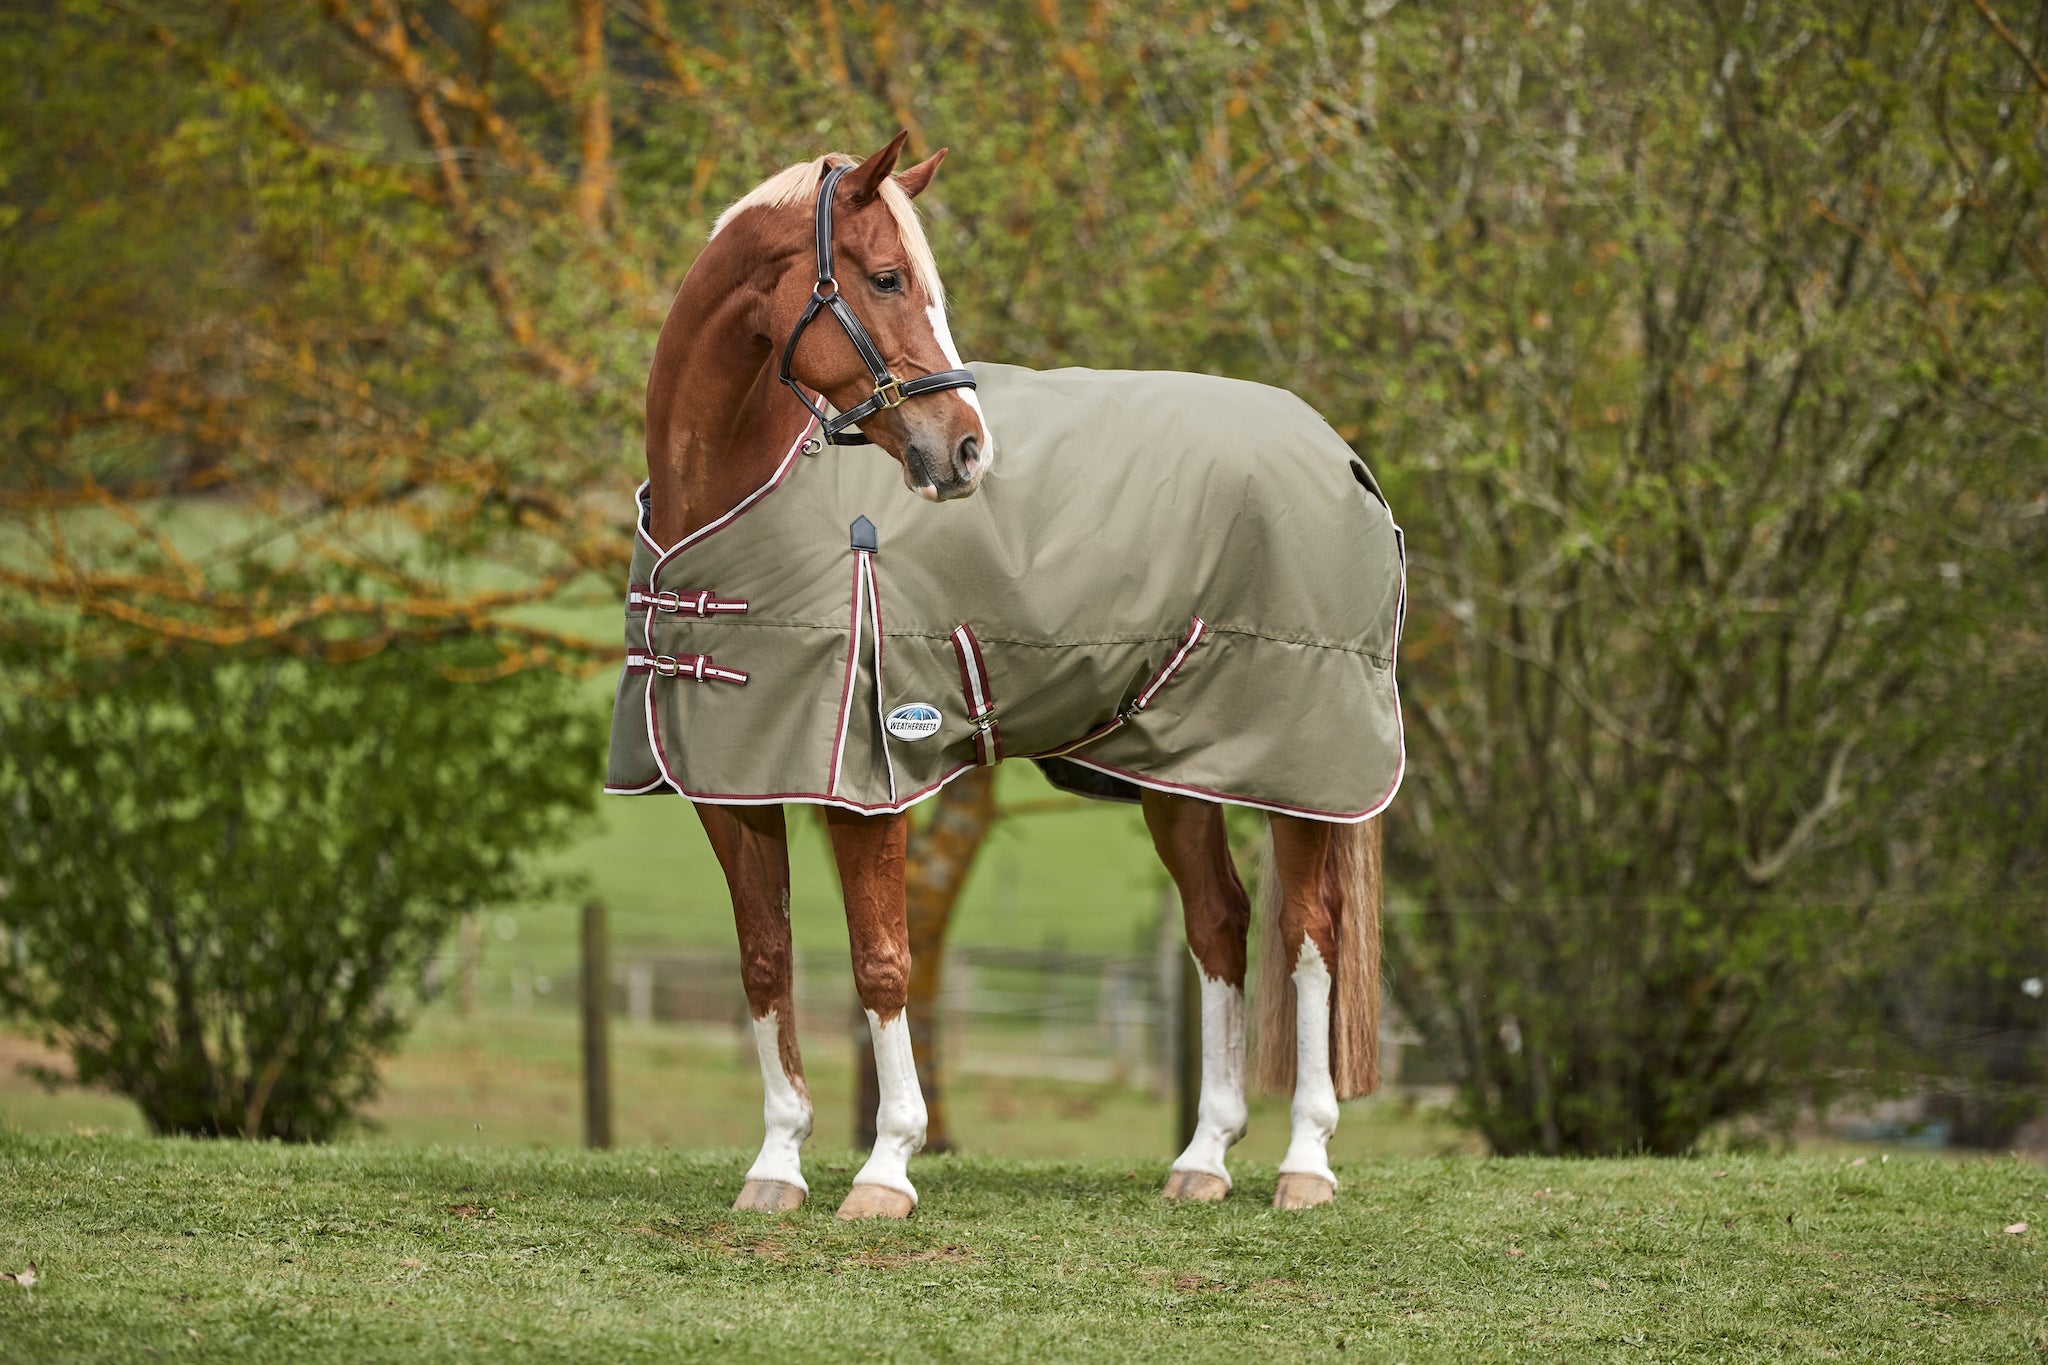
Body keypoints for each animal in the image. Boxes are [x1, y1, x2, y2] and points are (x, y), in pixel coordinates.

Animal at [619, 132, 1404, 1219]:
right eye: (887, 277)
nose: (963, 451)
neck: (741, 503)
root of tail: (1339, 454)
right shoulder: (731, 782)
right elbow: (765, 959)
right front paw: (775, 1166)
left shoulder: (870, 776)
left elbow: (882, 962)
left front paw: (885, 1168)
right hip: (1175, 765)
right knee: (1219, 924)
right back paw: (1202, 1157)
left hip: (1298, 762)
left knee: (1308, 931)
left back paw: (1305, 1162)